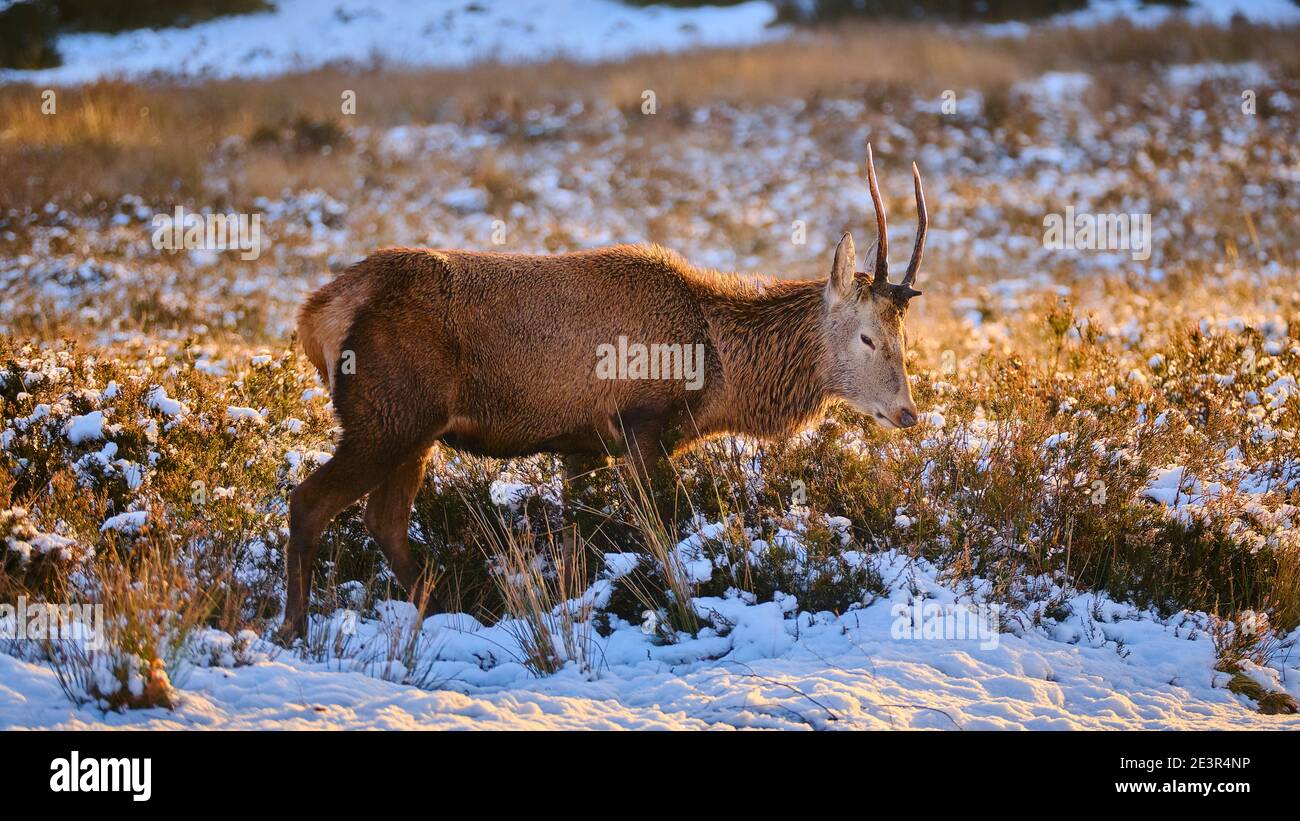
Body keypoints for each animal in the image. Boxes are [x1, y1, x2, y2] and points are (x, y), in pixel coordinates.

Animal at [284, 144, 927, 636]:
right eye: (867, 337)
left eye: (903, 334)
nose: (907, 412)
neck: (715, 372)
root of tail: (316, 312)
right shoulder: (641, 423)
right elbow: (656, 536)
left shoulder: (581, 445)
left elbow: (578, 543)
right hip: (387, 414)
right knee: (308, 501)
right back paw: (296, 628)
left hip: (412, 431)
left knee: (385, 522)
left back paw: (447, 615)